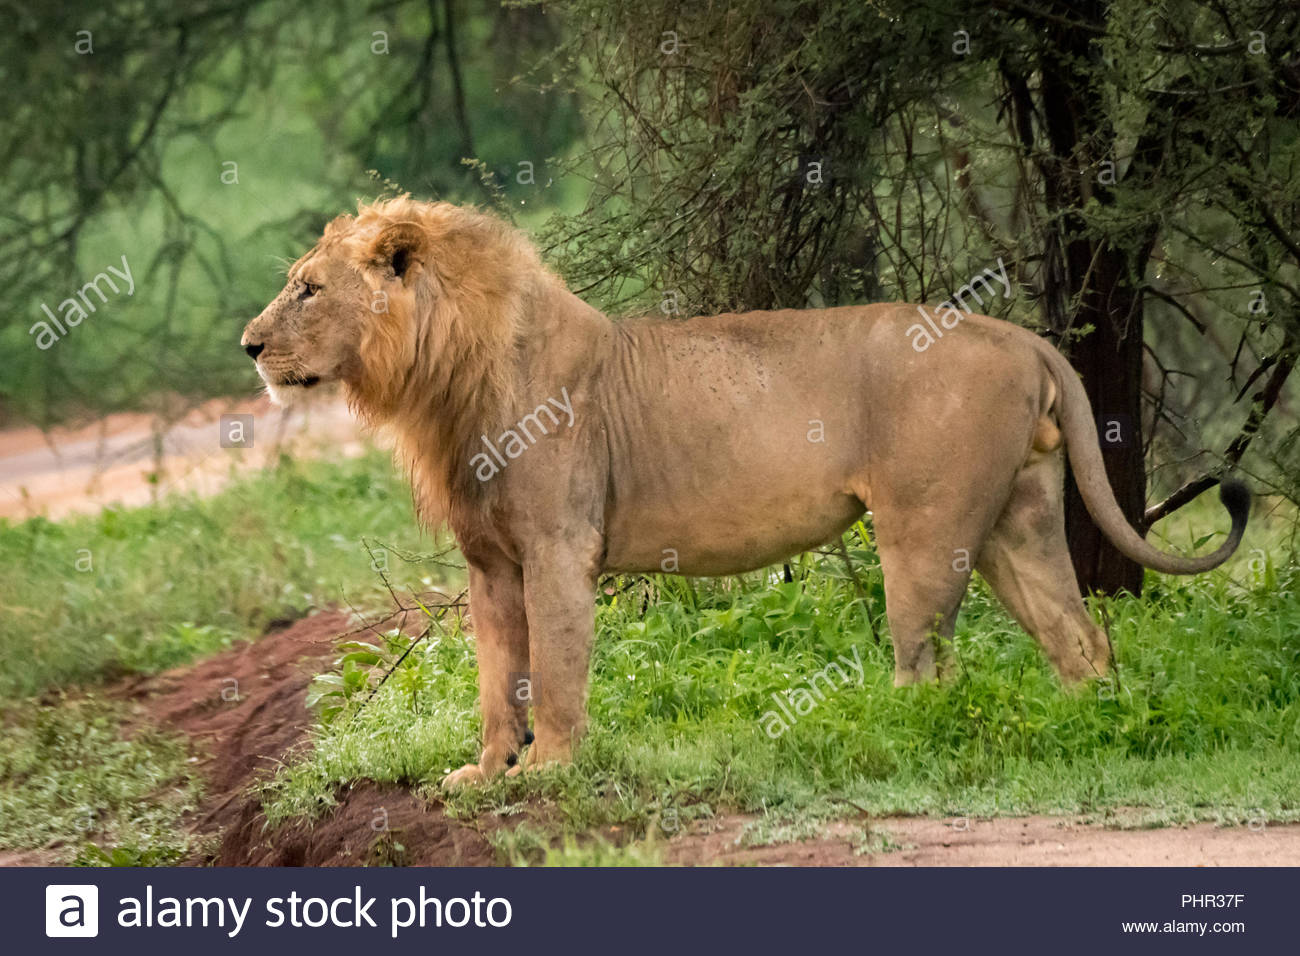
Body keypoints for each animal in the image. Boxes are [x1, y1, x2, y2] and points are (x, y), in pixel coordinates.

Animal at [241, 197, 1249, 787]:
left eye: (307, 289)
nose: (249, 346)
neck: (445, 380)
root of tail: (1023, 336)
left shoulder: (561, 548)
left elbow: (557, 671)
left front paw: (550, 772)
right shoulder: (490, 566)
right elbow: (499, 680)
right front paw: (484, 774)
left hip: (922, 530)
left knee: (929, 666)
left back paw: (882, 736)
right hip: (1017, 521)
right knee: (1081, 639)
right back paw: (1095, 729)